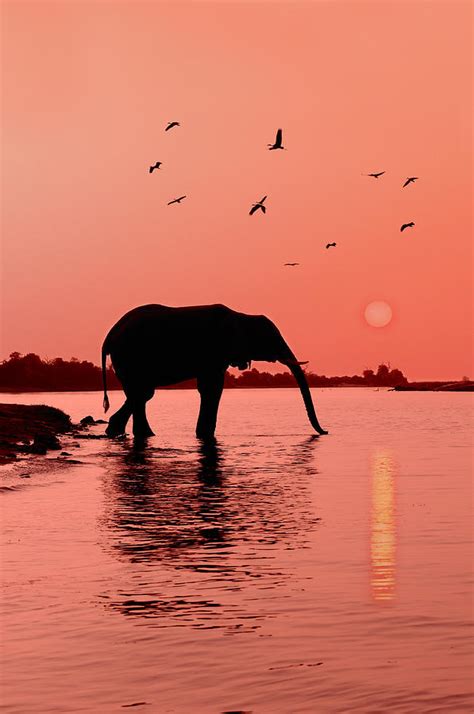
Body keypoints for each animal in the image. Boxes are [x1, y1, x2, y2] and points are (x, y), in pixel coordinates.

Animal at [101, 303, 327, 439]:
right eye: (270, 339)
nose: (325, 432)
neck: (241, 315)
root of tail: (109, 335)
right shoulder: (215, 350)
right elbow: (212, 387)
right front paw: (205, 435)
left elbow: (210, 389)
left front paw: (203, 435)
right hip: (129, 356)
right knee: (142, 393)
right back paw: (120, 430)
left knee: (141, 394)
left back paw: (133, 433)